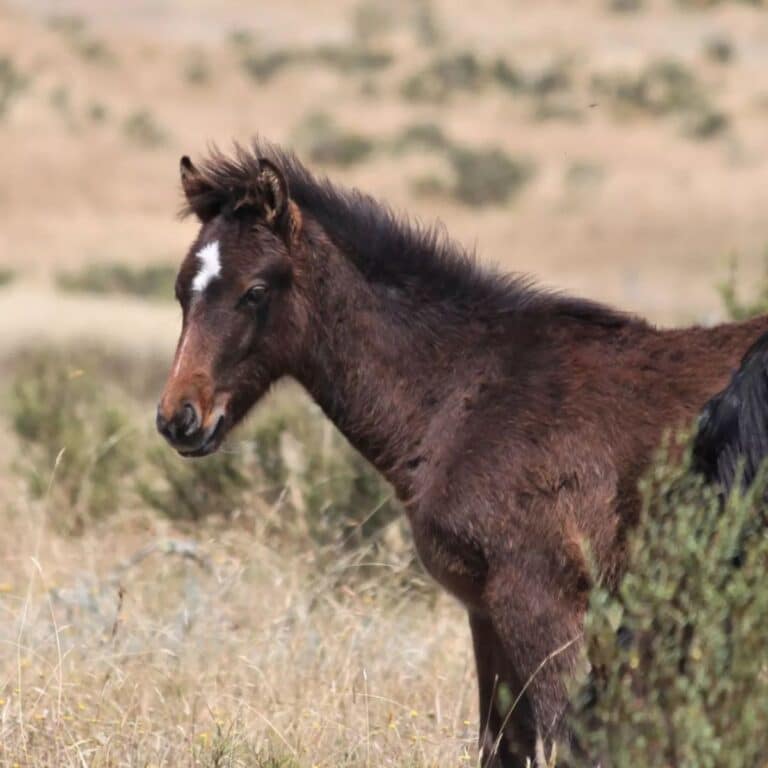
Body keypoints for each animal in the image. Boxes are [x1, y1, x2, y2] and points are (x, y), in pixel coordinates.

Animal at [155, 141, 768, 766]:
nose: (180, 418)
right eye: (181, 292)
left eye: (255, 291)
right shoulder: (485, 612)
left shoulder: (543, 604)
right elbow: (499, 744)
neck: (469, 394)